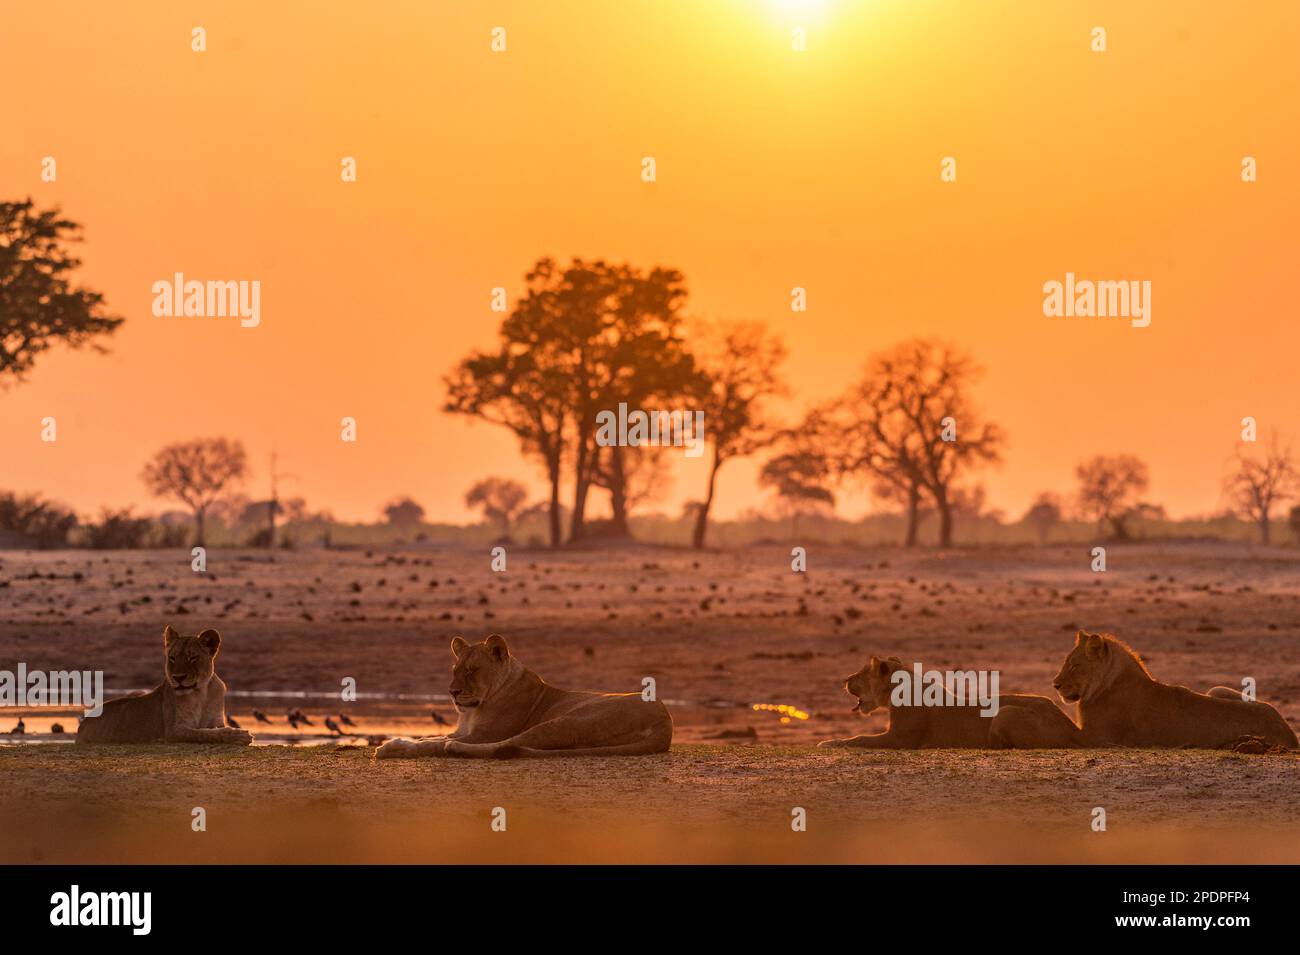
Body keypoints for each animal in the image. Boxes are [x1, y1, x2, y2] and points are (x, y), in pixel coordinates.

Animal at [76, 625, 252, 745]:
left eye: (192, 658)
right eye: (172, 658)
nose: (178, 678)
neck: (202, 692)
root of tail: (82, 725)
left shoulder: (216, 721)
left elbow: (212, 730)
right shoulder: (174, 731)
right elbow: (204, 734)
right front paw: (239, 735)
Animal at [375, 634, 672, 759]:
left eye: (473, 670)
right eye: (455, 670)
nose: (453, 692)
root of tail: (665, 723)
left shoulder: (481, 734)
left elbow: (432, 743)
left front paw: (392, 747)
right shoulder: (464, 730)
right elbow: (429, 737)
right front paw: (397, 743)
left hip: (567, 721)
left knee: (507, 744)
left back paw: (456, 750)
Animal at [818, 655, 1080, 749]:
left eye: (862, 673)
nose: (845, 680)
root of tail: (1071, 726)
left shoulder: (899, 739)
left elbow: (860, 738)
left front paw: (829, 742)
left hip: (1003, 712)